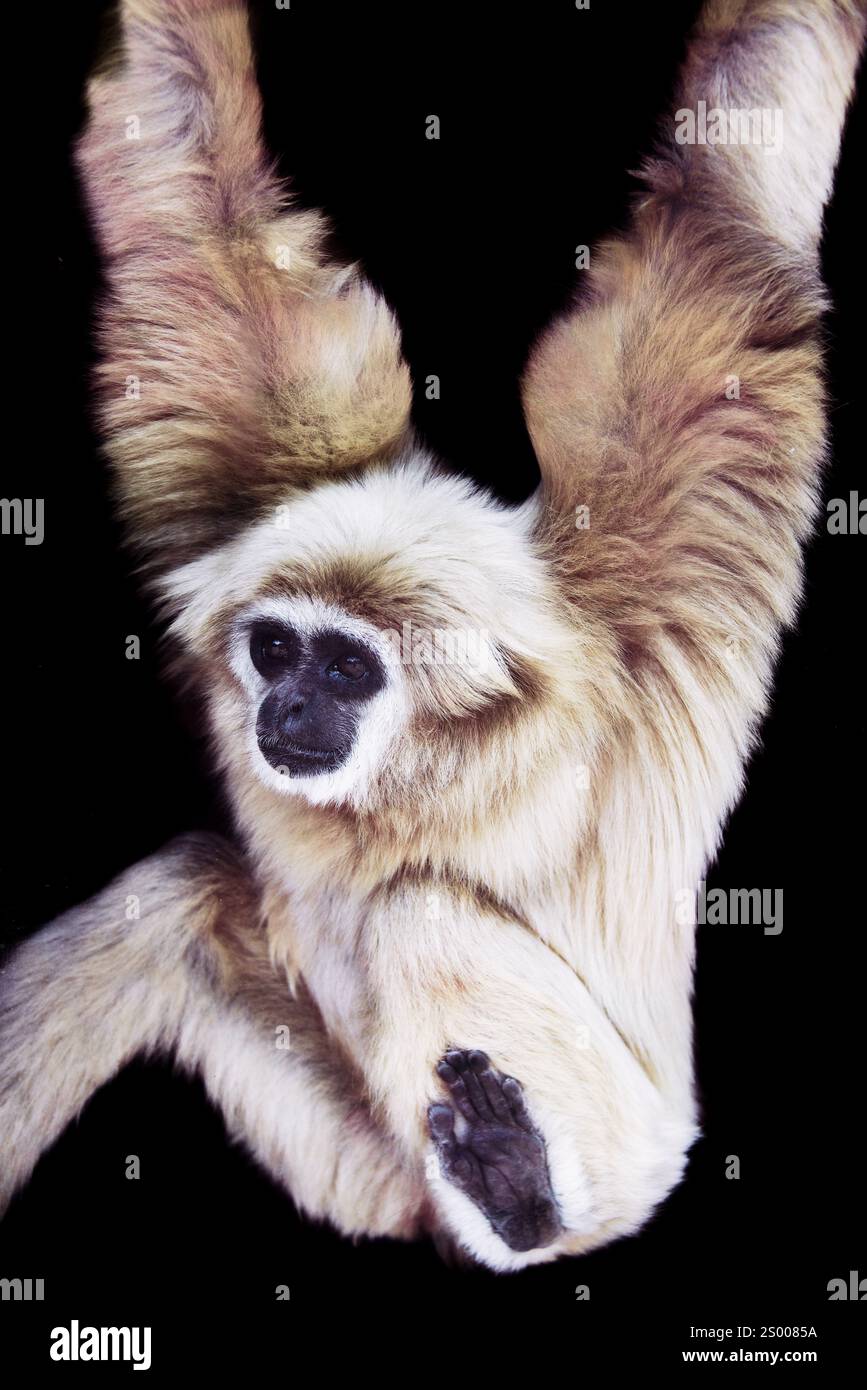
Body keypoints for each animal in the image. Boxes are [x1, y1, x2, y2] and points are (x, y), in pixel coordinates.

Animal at [1, 0, 863, 1272]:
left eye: (348, 667)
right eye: (276, 650)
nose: (287, 707)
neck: (433, 775)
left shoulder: (640, 603)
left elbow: (723, 212)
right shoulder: (263, 461)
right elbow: (196, 220)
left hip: (627, 1156)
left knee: (412, 912)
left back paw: (516, 1185)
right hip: (365, 1162)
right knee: (175, 903)